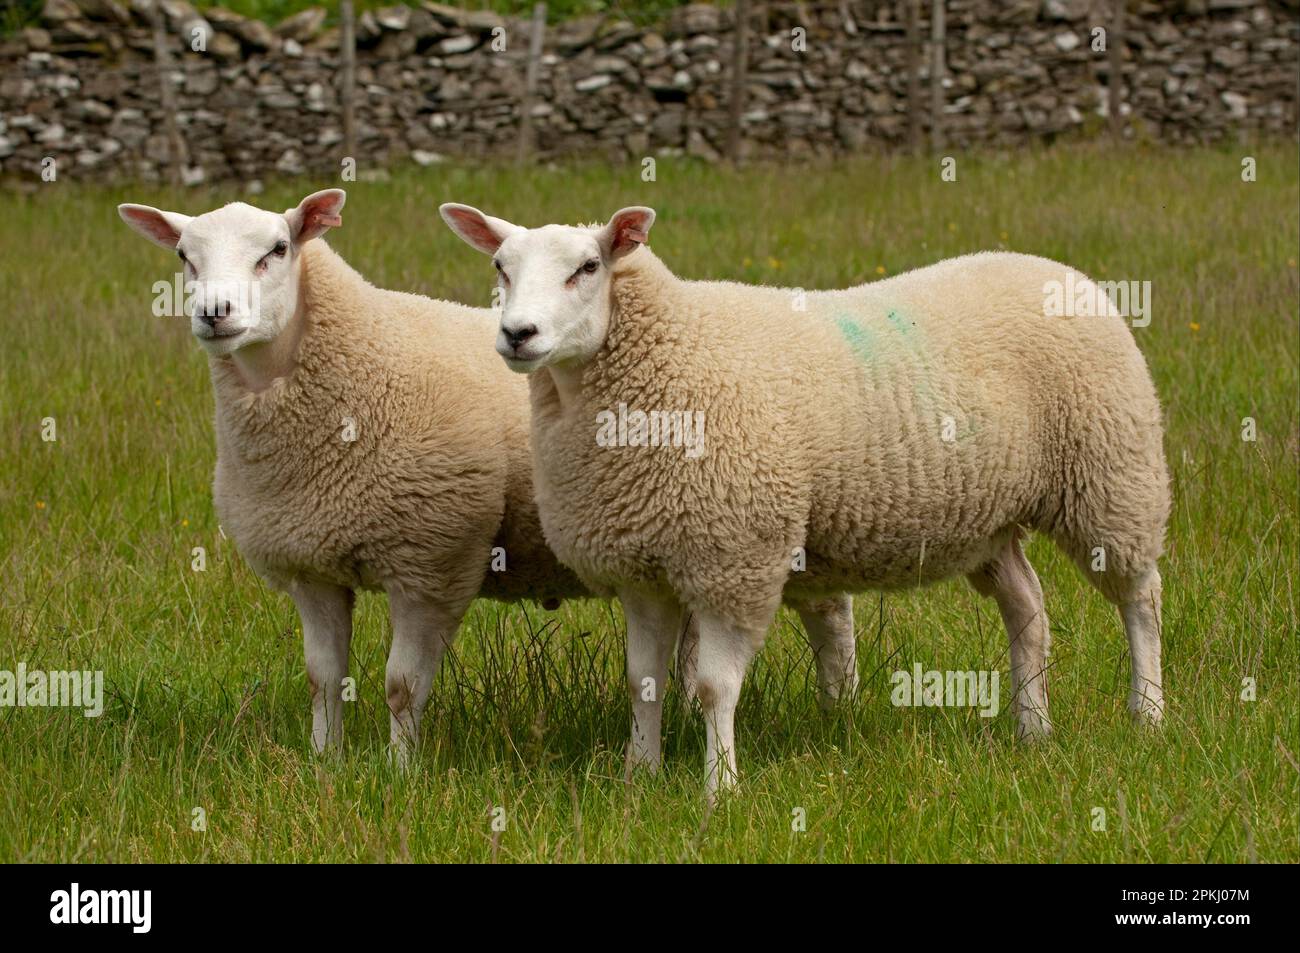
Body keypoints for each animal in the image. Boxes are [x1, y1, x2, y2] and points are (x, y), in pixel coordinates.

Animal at [117, 189, 598, 761]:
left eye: (277, 249)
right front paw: (325, 761)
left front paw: (399, 769)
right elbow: (321, 679)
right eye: (184, 256)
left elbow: (402, 685)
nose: (215, 314)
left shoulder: (431, 567)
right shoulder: (311, 569)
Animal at [440, 203, 1171, 798]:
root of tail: (1057, 270)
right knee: (1028, 606)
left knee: (1140, 597)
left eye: (588, 267)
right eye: (501, 267)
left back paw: (1149, 714)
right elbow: (642, 680)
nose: (518, 334)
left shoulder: (734, 557)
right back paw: (1033, 727)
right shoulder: (642, 566)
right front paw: (637, 778)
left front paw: (721, 790)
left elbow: (714, 686)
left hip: (1112, 475)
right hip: (987, 520)